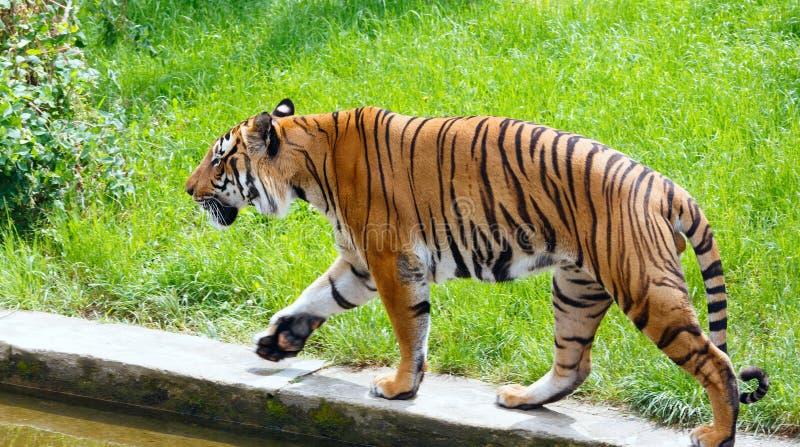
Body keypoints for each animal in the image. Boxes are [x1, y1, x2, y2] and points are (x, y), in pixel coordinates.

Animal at [184, 98, 768, 447]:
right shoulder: (359, 263)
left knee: (715, 360)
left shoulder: (390, 260)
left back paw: (716, 435)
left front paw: (399, 387)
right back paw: (520, 399)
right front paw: (277, 340)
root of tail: (665, 185)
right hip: (576, 287)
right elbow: (318, 295)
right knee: (574, 363)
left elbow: (409, 328)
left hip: (643, 286)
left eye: (218, 161)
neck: (308, 163)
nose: (187, 190)